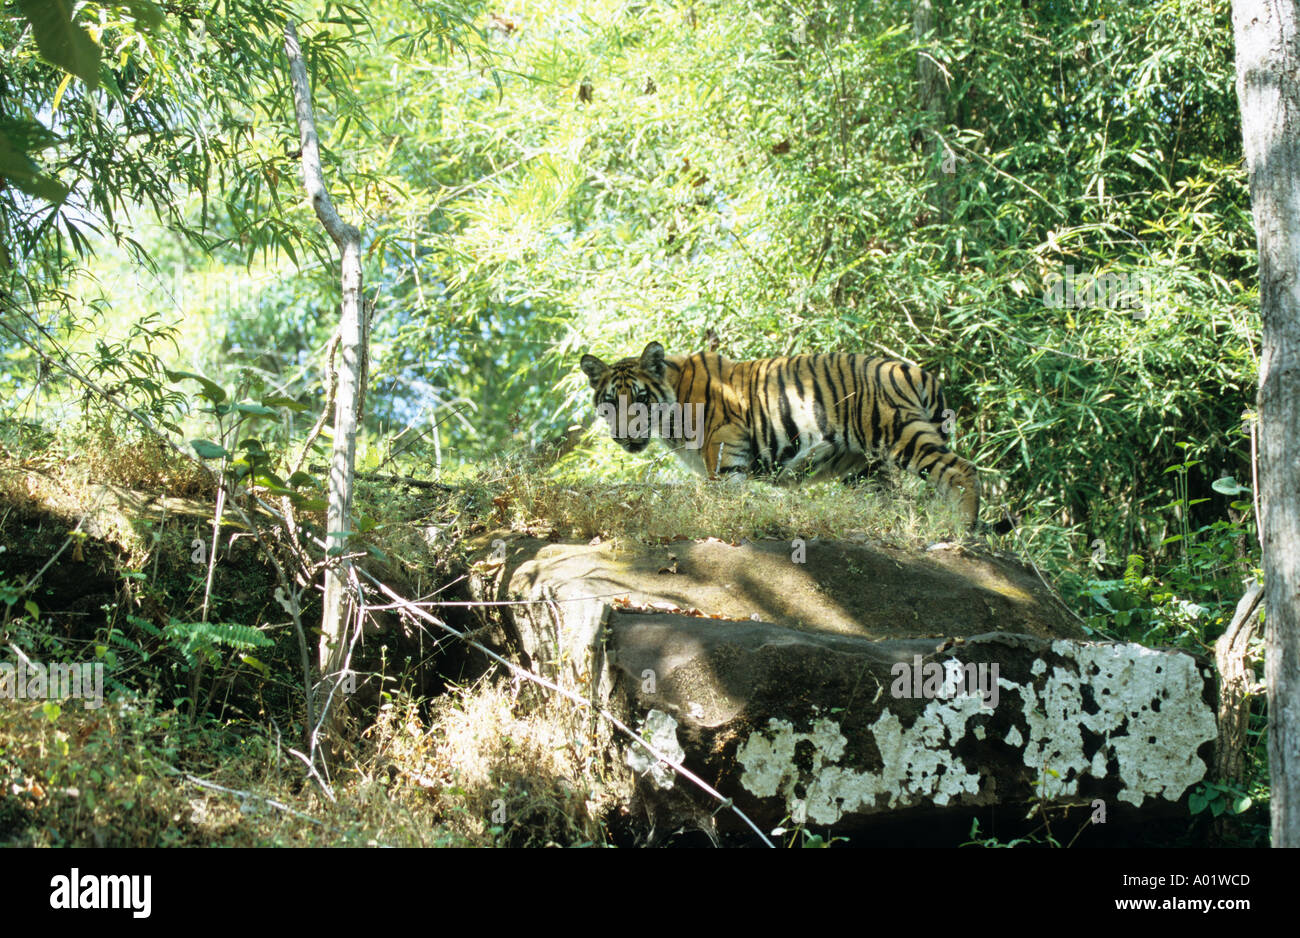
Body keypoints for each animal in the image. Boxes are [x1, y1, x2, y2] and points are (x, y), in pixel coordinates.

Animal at [579, 341, 981, 530]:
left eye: (641, 398)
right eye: (611, 401)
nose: (624, 433)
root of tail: (918, 371)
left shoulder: (725, 452)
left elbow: (726, 501)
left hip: (899, 430)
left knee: (960, 470)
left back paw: (961, 530)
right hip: (865, 469)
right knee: (892, 502)